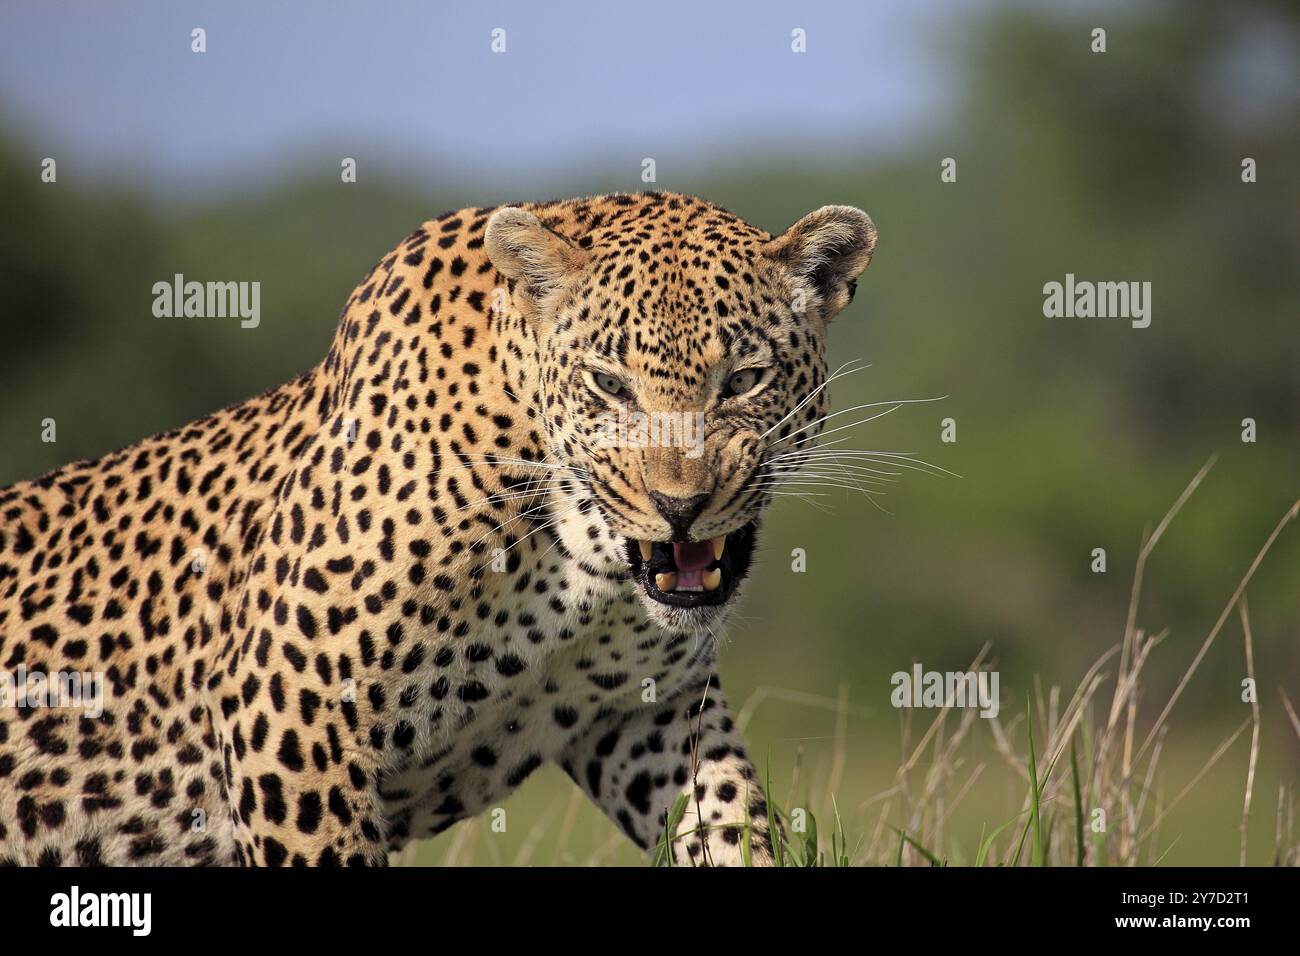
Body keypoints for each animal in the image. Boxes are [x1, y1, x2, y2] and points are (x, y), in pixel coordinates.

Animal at [0, 191, 877, 866]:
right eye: (608, 383)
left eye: (746, 379)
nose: (680, 505)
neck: (579, 557)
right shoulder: (289, 711)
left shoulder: (645, 711)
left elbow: (730, 822)